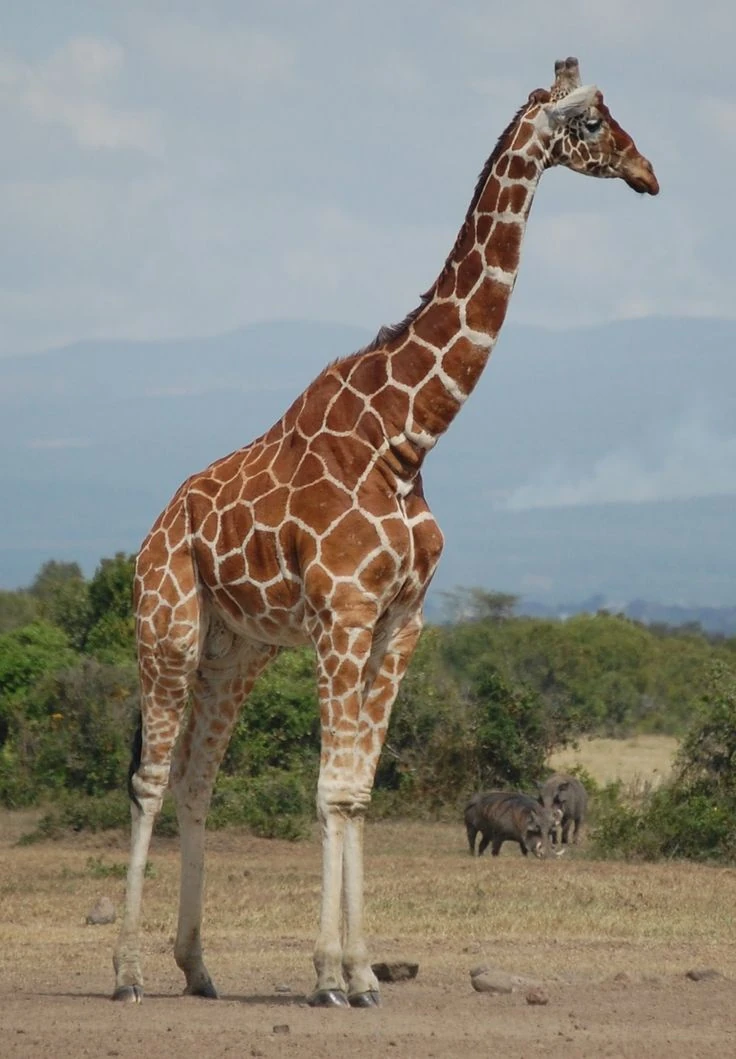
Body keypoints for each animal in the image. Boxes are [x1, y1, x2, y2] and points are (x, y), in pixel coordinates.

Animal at [113, 57, 658, 1008]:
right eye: (591, 122)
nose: (647, 171)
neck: (409, 434)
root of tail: (150, 536)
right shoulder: (345, 614)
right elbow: (332, 789)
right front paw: (332, 975)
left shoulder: (401, 623)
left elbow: (359, 791)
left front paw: (363, 969)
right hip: (168, 629)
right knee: (149, 779)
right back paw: (130, 971)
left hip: (237, 649)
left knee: (196, 779)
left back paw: (199, 965)